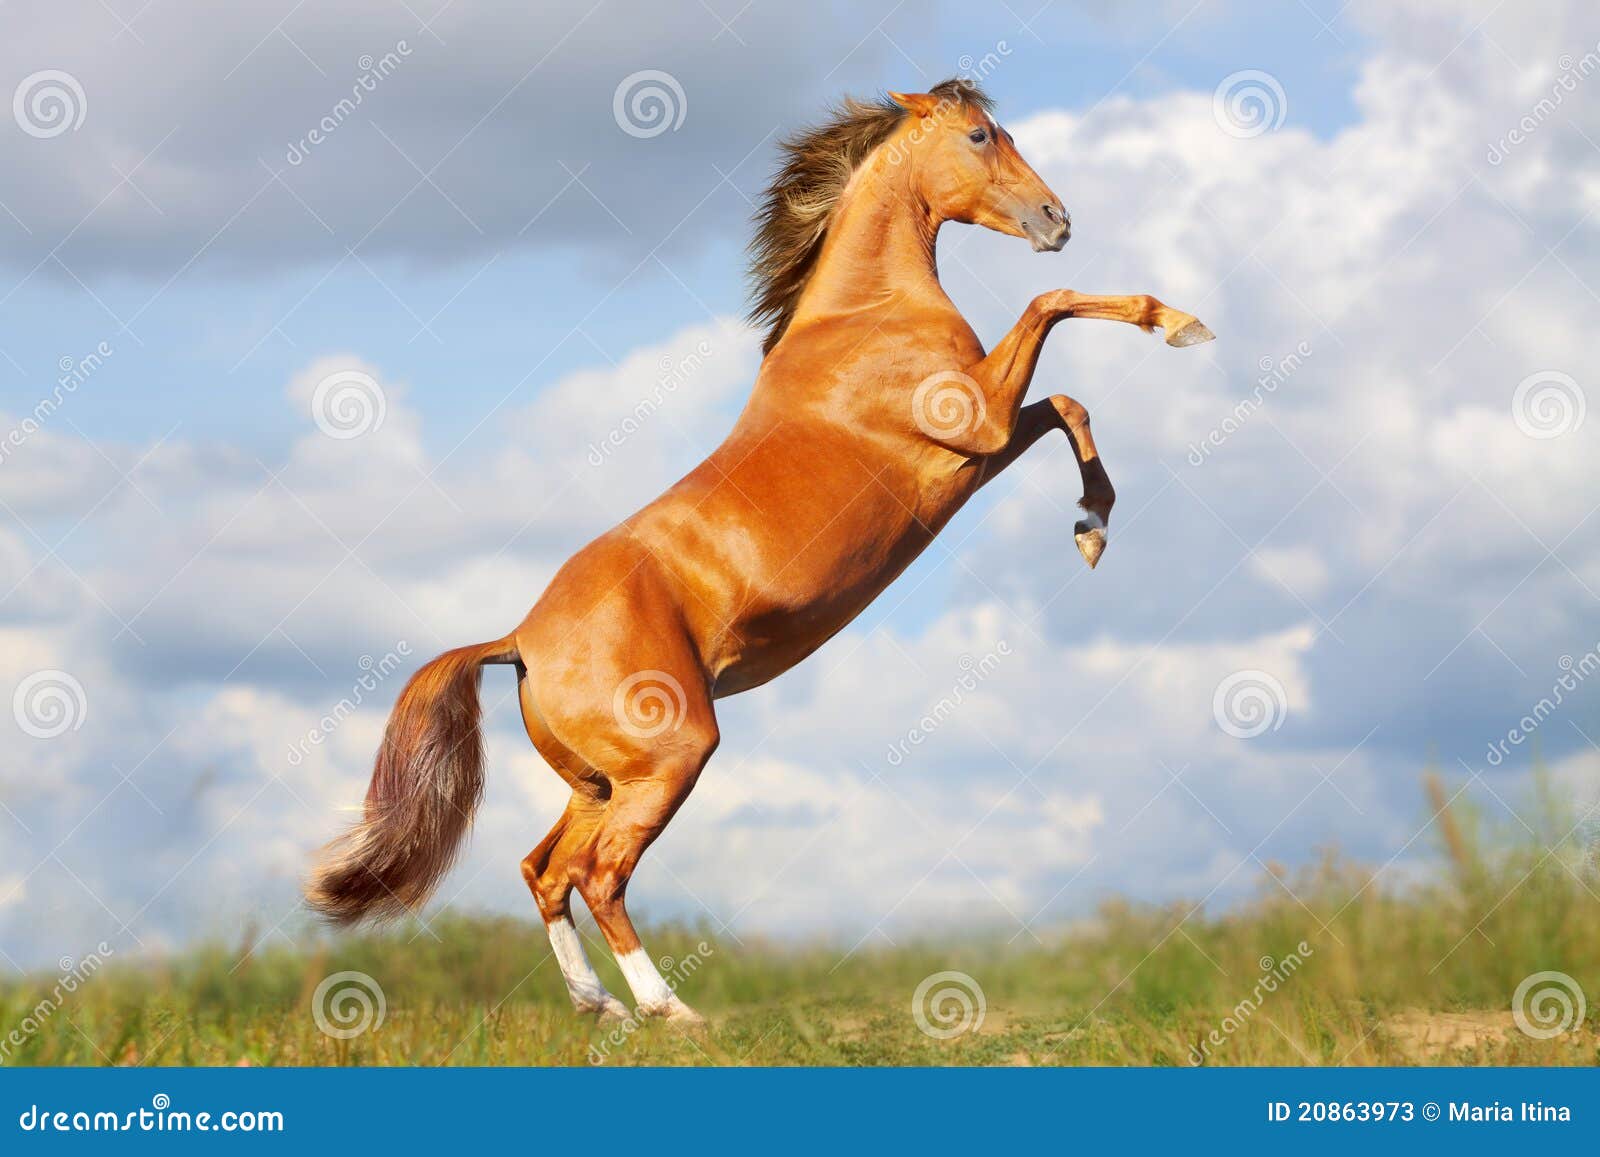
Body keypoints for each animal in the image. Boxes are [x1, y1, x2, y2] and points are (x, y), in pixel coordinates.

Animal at [306, 78, 1213, 1023]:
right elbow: (1056, 307)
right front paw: (1179, 324)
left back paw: (599, 1004)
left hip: (600, 782)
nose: (1055, 219)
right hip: (670, 761)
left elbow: (1067, 404)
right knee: (597, 875)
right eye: (978, 135)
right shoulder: (980, 417)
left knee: (543, 869)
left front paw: (1092, 526)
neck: (865, 315)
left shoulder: (987, 444)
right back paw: (669, 1011)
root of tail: (518, 640)